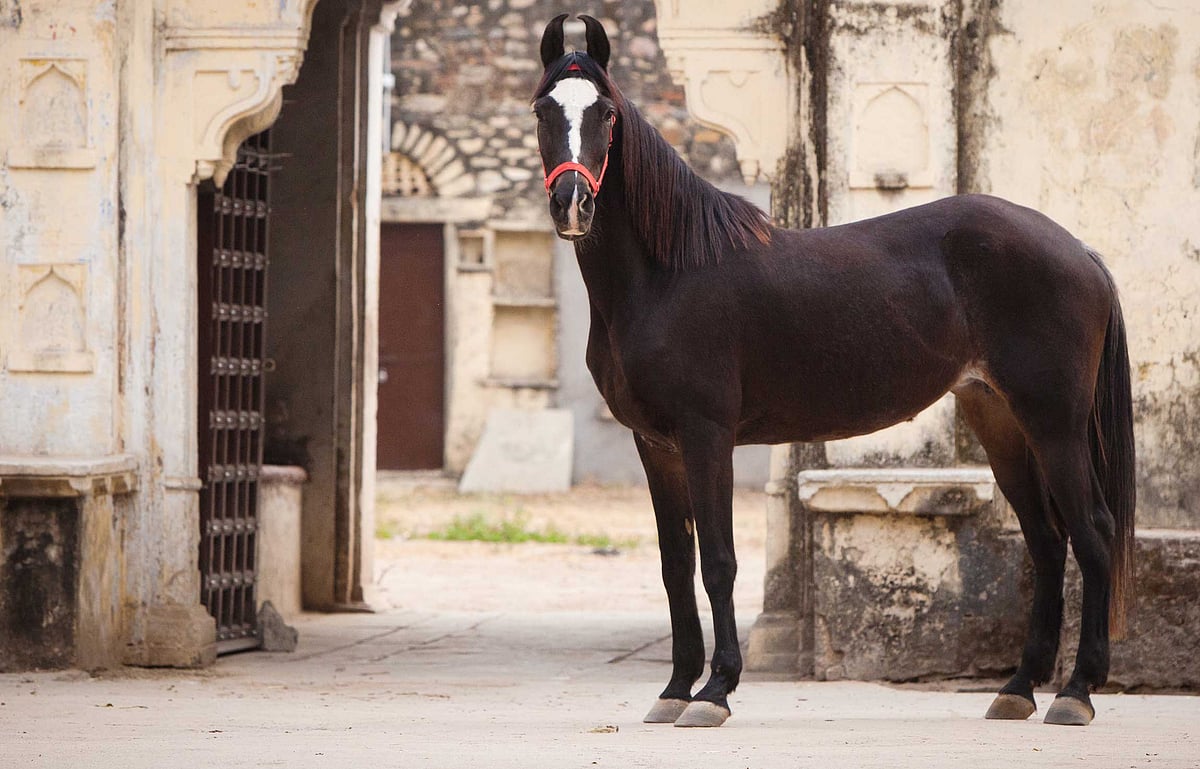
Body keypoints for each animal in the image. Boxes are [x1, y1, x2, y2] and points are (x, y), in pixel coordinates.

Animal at [532, 14, 1135, 728]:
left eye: (606, 114)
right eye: (543, 110)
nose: (572, 203)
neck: (666, 275)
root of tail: (1080, 251)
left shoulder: (706, 436)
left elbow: (719, 564)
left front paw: (715, 692)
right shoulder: (656, 445)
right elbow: (676, 566)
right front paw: (675, 689)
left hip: (1055, 423)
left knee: (1093, 535)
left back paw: (1076, 693)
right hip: (1001, 421)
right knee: (1045, 541)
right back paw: (1017, 690)